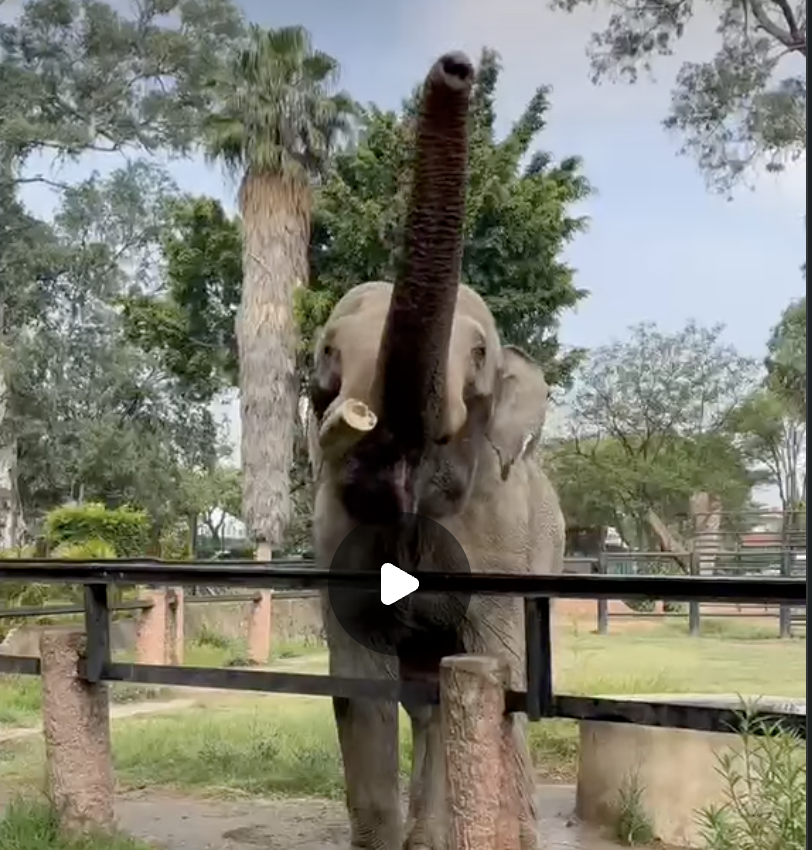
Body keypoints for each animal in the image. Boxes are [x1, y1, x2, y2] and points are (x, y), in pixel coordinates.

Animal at [307, 51, 565, 850]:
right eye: (327, 354)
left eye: (478, 356)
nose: (455, 68)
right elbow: (358, 685)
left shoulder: (499, 536)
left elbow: (479, 670)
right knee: (420, 700)